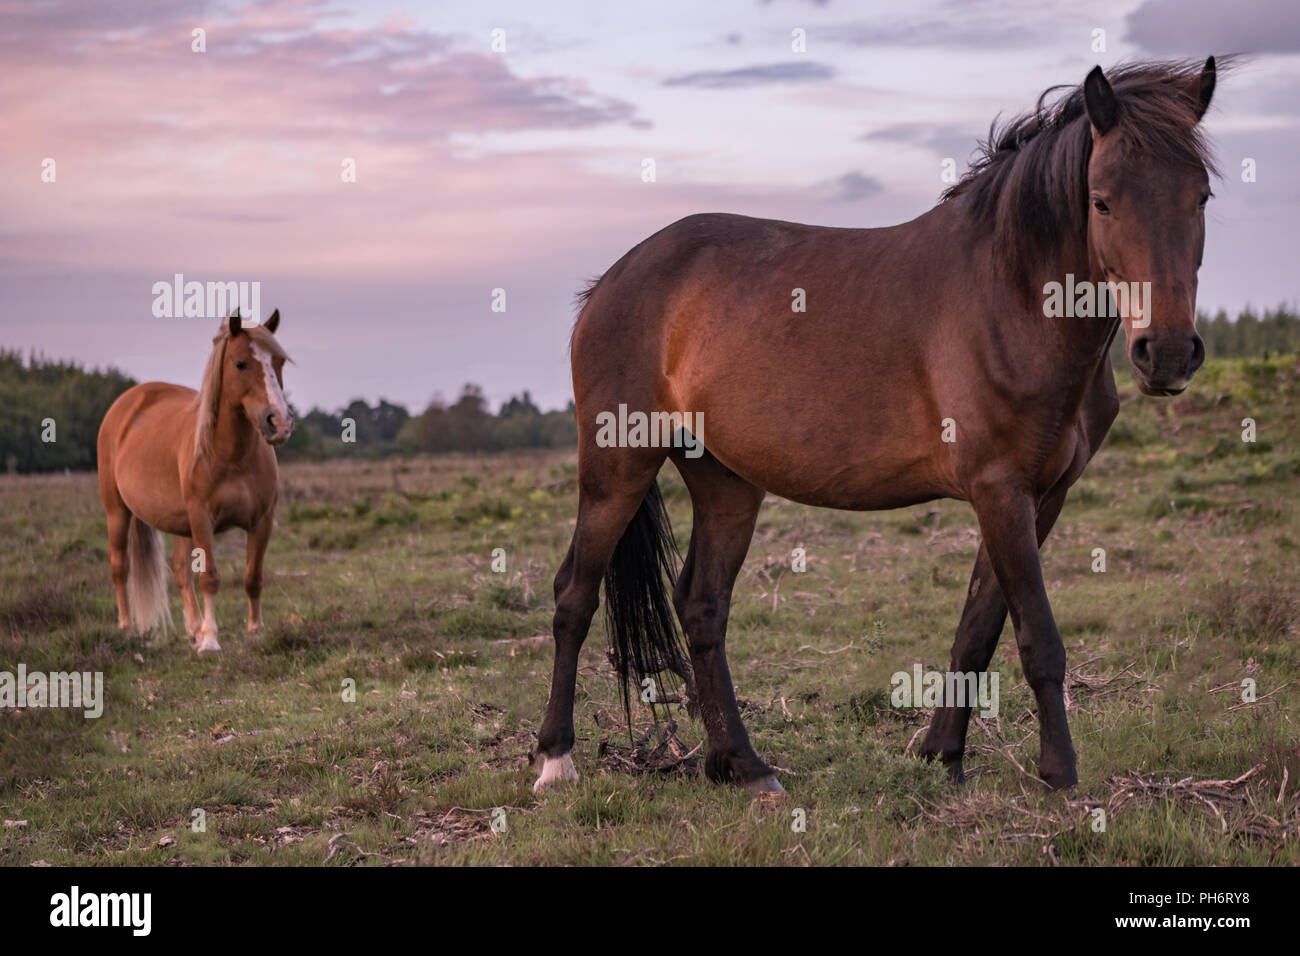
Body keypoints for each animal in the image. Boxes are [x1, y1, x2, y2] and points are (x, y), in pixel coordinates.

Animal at [96, 310, 293, 655]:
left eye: (279, 361)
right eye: (240, 363)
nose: (279, 422)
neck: (233, 456)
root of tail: (128, 402)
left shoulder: (262, 521)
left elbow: (253, 578)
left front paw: (254, 633)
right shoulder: (202, 519)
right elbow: (210, 577)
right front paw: (211, 640)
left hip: (181, 523)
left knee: (178, 570)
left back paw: (193, 630)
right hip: (118, 512)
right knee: (120, 566)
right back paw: (127, 629)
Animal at [534, 58, 1222, 795]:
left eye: (1201, 197)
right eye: (1101, 201)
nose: (1168, 353)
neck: (1012, 297)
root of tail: (611, 281)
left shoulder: (1040, 496)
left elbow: (978, 628)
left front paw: (943, 755)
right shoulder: (999, 489)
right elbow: (1038, 638)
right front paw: (1060, 776)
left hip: (727, 483)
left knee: (701, 604)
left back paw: (743, 766)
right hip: (617, 468)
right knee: (574, 596)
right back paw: (555, 761)